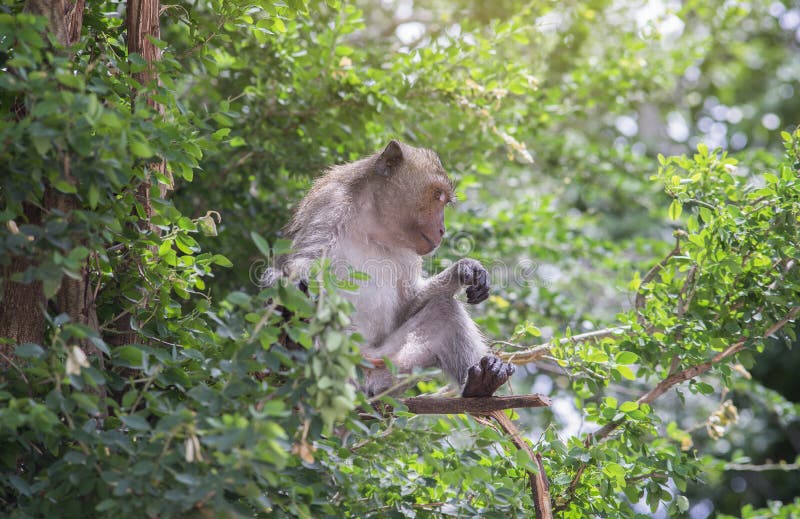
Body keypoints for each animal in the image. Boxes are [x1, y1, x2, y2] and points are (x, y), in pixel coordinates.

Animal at [262, 140, 515, 398]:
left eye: (444, 200)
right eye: (437, 196)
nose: (442, 229)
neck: (371, 224)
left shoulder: (408, 252)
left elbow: (407, 305)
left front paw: (466, 270)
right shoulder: (329, 204)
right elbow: (300, 264)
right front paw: (290, 284)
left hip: (390, 368)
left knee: (444, 309)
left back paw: (482, 381)